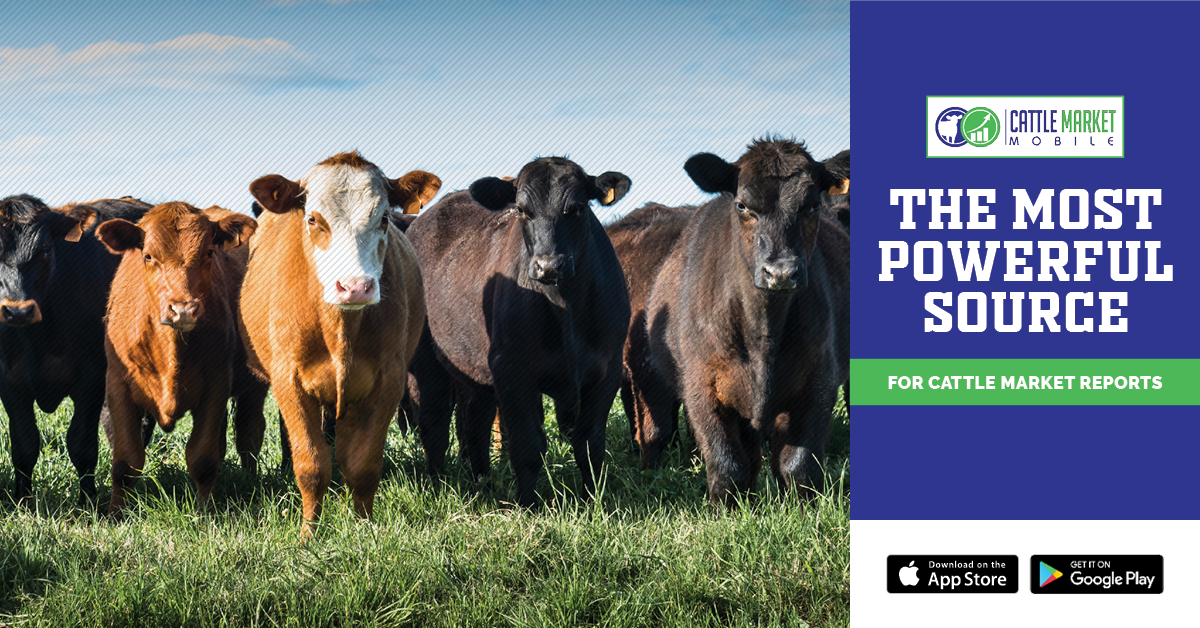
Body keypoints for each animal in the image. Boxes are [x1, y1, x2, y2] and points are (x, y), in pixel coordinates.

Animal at [0, 195, 150, 504]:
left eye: (46, 249)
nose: (17, 311)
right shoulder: (10, 381)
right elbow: (24, 444)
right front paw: (22, 500)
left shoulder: (90, 379)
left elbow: (81, 444)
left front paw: (87, 502)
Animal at [97, 202, 265, 514]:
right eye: (148, 255)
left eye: (209, 252)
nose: (183, 309)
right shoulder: (117, 385)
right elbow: (125, 463)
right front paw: (116, 514)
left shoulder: (216, 385)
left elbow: (203, 460)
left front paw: (205, 513)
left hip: (254, 387)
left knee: (249, 436)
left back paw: (251, 482)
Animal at [243, 151, 437, 533]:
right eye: (313, 219)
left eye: (384, 218)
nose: (355, 286)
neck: (339, 329)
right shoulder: (288, 380)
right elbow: (311, 465)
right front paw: (309, 532)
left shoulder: (387, 381)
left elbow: (362, 463)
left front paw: (363, 527)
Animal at [406, 157, 631, 508]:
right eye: (523, 210)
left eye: (577, 207)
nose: (549, 266)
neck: (565, 306)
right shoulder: (511, 367)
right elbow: (527, 445)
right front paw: (529, 505)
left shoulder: (608, 368)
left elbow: (590, 444)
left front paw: (593, 500)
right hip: (425, 358)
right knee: (434, 419)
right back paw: (438, 483)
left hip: (472, 366)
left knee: (475, 421)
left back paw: (482, 478)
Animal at [630, 138, 849, 506]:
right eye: (743, 206)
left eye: (812, 205)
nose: (781, 272)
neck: (763, 333)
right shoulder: (701, 388)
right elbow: (727, 465)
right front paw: (729, 512)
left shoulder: (820, 380)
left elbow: (798, 465)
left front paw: (803, 509)